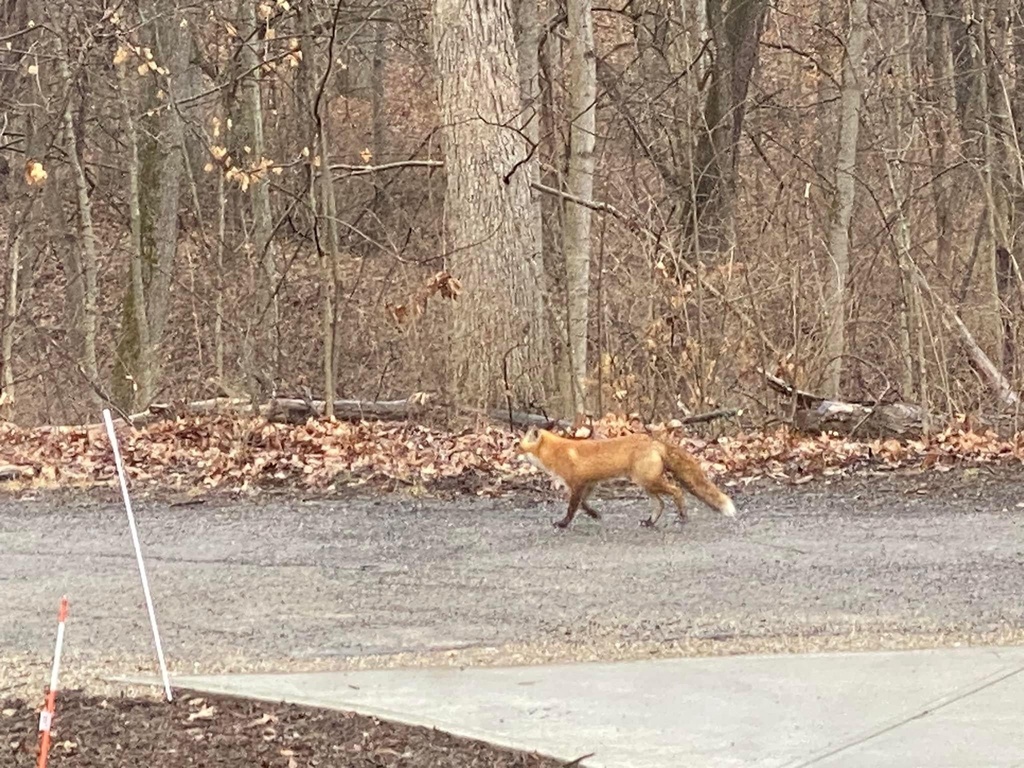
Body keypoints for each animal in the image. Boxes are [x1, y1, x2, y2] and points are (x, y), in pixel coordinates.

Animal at [518, 426, 736, 529]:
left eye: (519, 447)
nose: (512, 454)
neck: (556, 453)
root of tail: (654, 440)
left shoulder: (577, 484)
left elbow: (572, 508)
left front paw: (563, 524)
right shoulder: (589, 484)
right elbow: (584, 505)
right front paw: (595, 514)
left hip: (648, 481)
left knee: (676, 491)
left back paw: (682, 516)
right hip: (645, 484)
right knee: (660, 504)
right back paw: (650, 522)